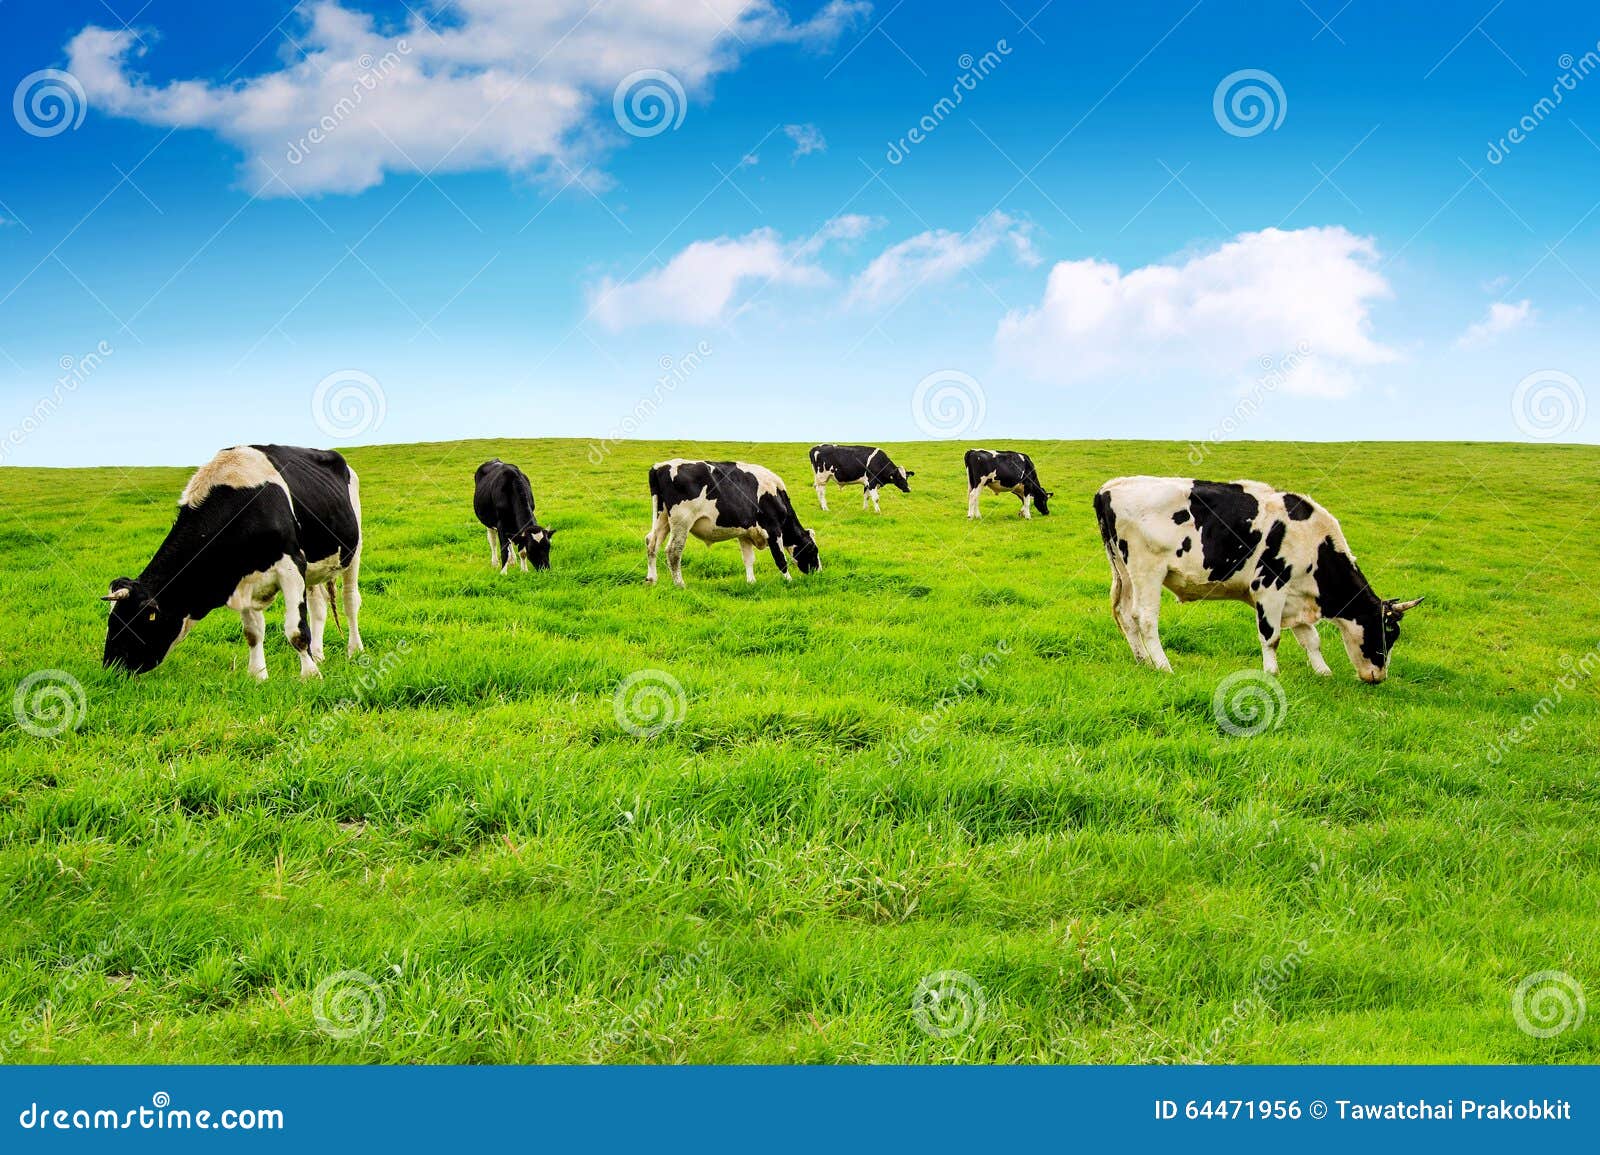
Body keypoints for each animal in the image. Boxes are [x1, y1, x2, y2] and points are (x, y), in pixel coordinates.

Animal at [102, 444, 364, 680]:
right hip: (314, 569)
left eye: (129, 624)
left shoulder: (291, 566)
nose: (110, 668)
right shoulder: (242, 577)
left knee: (350, 601)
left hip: (354, 551)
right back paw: (318, 654)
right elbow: (253, 633)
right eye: (110, 621)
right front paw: (258, 675)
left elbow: (296, 631)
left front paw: (310, 676)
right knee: (318, 606)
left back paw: (354, 651)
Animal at [645, 459, 820, 588]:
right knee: (673, 550)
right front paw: (789, 580)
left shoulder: (746, 533)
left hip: (662, 518)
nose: (818, 571)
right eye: (813, 549)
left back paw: (652, 579)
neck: (777, 495)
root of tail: (659, 467)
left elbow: (748, 559)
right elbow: (780, 558)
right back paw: (680, 584)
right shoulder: (773, 529)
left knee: (651, 543)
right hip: (682, 520)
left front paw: (751, 582)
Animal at [1093, 476, 1424, 683]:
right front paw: (1271, 672)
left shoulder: (1295, 596)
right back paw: (1163, 665)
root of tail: (1109, 487)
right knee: (1145, 618)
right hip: (1147, 569)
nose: (1379, 678)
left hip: (1123, 571)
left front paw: (1323, 671)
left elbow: (1311, 639)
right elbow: (1272, 636)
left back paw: (1143, 660)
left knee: (1124, 614)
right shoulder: (1269, 587)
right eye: (1388, 632)